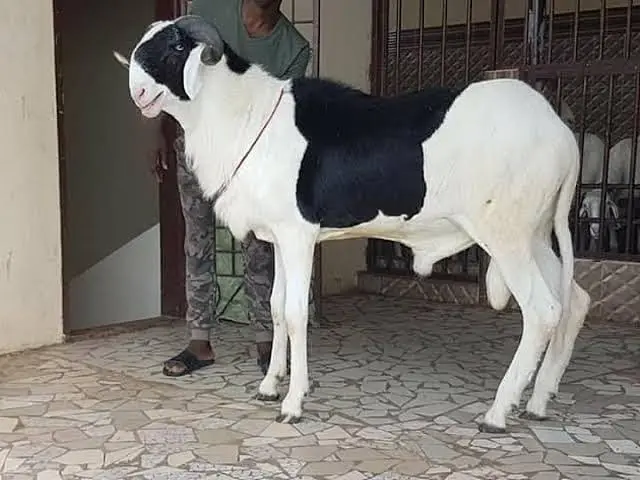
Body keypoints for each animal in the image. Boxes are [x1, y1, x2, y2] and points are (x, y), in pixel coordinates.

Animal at [114, 15, 591, 433]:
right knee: (574, 302)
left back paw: (498, 412)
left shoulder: (299, 236)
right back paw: (538, 401)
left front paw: (293, 403)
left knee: (543, 311)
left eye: (175, 48)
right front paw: (269, 385)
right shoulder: (279, 238)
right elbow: (274, 306)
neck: (245, 116)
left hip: (505, 235)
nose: (137, 93)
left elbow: (294, 313)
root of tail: (560, 134)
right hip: (535, 235)